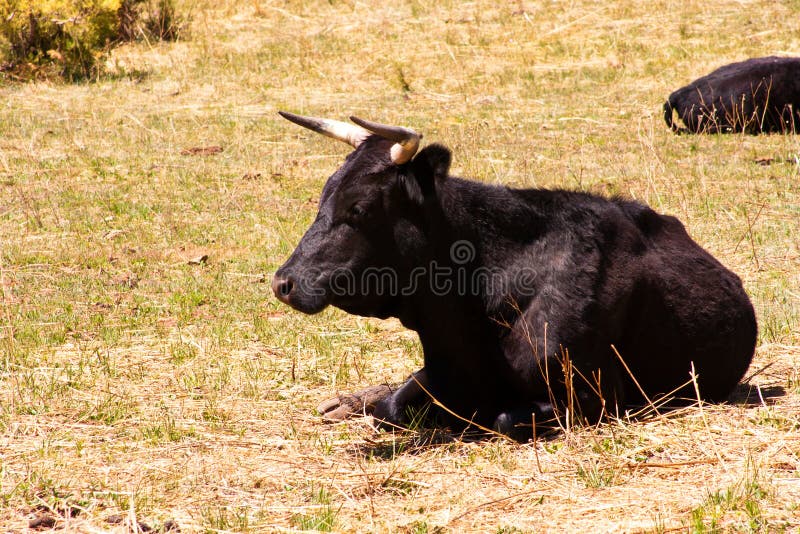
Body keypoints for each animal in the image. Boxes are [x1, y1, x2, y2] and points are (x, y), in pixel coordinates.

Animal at [272, 111, 757, 441]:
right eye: (323, 196)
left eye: (358, 208)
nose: (284, 282)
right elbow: (393, 405)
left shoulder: (594, 396)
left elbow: (504, 418)